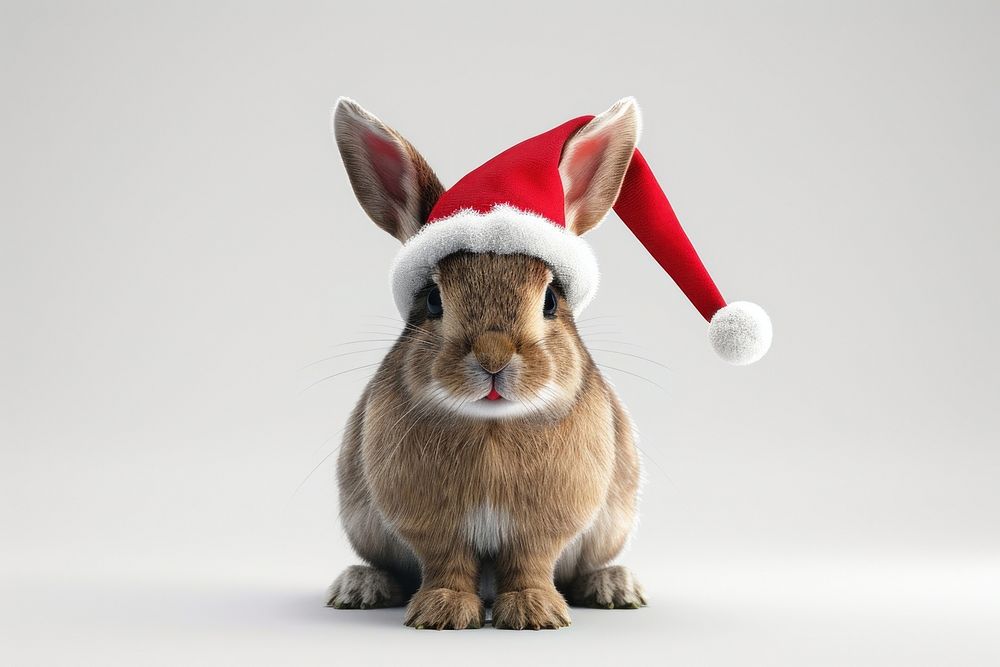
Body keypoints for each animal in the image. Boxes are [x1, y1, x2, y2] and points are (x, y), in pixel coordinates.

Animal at [324, 98, 645, 630]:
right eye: (433, 300)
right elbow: (447, 563)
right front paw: (443, 613)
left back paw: (615, 586)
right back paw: (360, 586)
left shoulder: (543, 526)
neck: (491, 423)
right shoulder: (432, 525)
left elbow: (530, 562)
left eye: (551, 300)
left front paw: (535, 613)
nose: (493, 357)